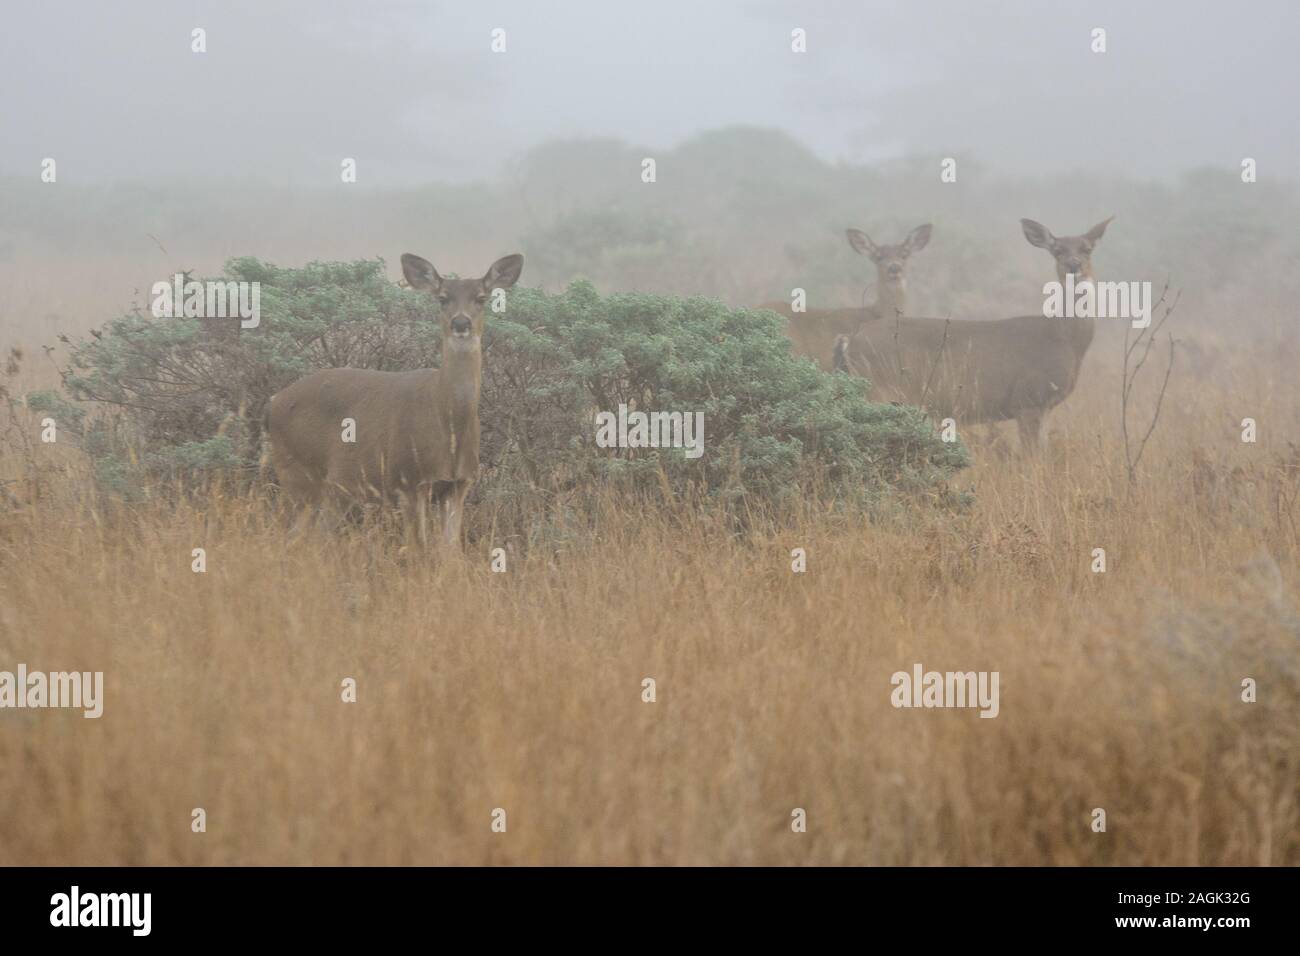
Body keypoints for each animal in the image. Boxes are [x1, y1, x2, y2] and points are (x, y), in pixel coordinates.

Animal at [266, 252, 524, 550]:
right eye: (442, 298)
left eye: (481, 297)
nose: (461, 323)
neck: (447, 420)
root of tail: (272, 402)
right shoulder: (409, 480)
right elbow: (419, 550)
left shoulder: (459, 485)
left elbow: (451, 552)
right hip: (296, 472)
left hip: (333, 489)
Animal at [833, 217, 1114, 451]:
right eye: (1057, 251)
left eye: (1087, 249)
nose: (1073, 265)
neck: (1065, 338)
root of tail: (850, 340)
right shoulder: (1028, 400)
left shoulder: (1041, 408)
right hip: (880, 389)